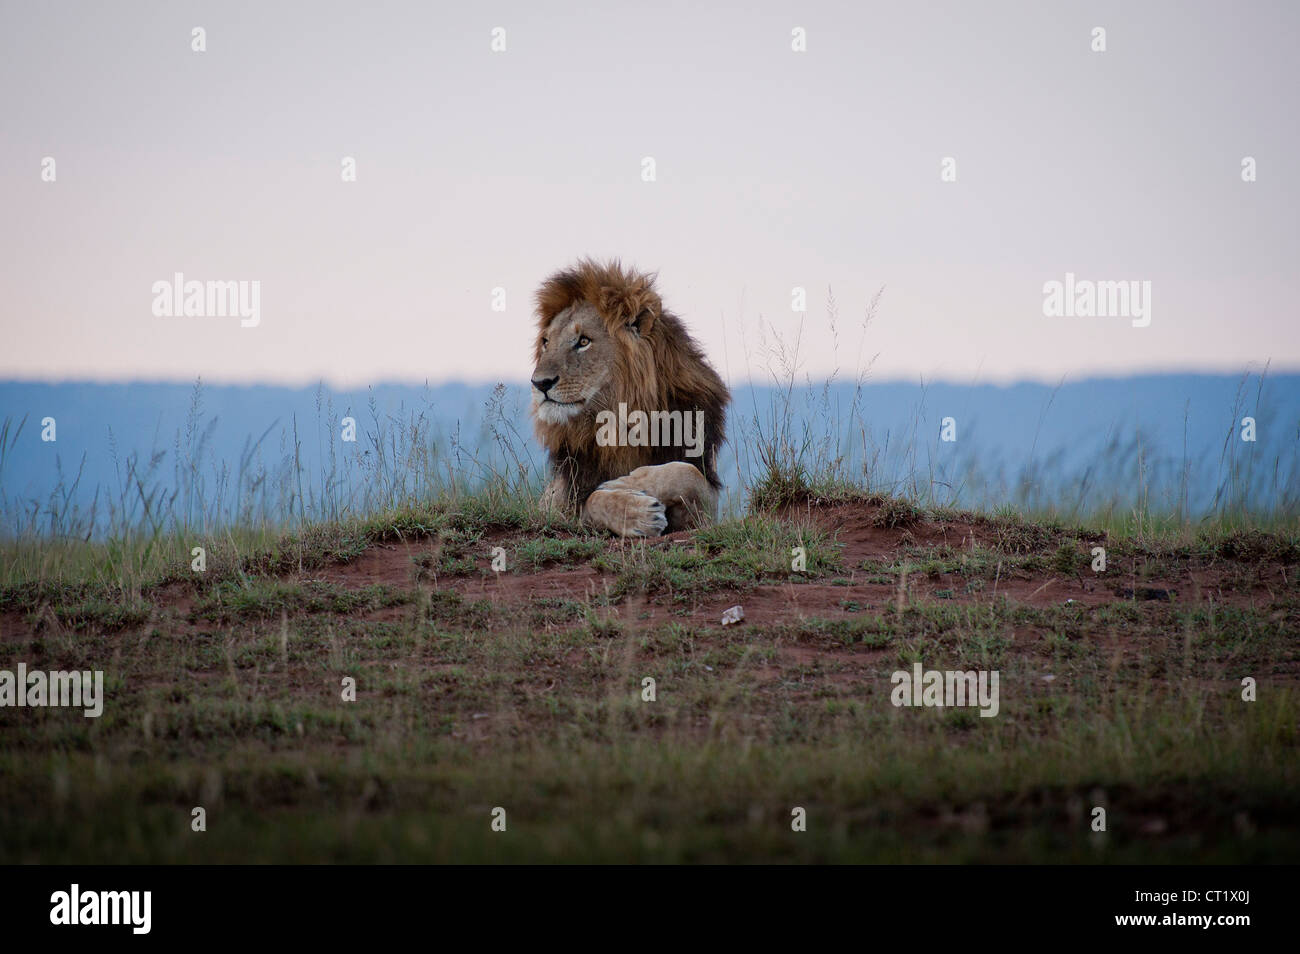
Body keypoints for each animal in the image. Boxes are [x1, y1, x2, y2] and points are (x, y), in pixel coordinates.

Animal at [530, 259, 729, 537]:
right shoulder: (558, 503)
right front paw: (636, 512)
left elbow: (686, 472)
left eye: (583, 341)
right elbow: (592, 500)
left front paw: (625, 482)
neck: (618, 423)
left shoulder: (706, 510)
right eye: (546, 342)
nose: (539, 383)